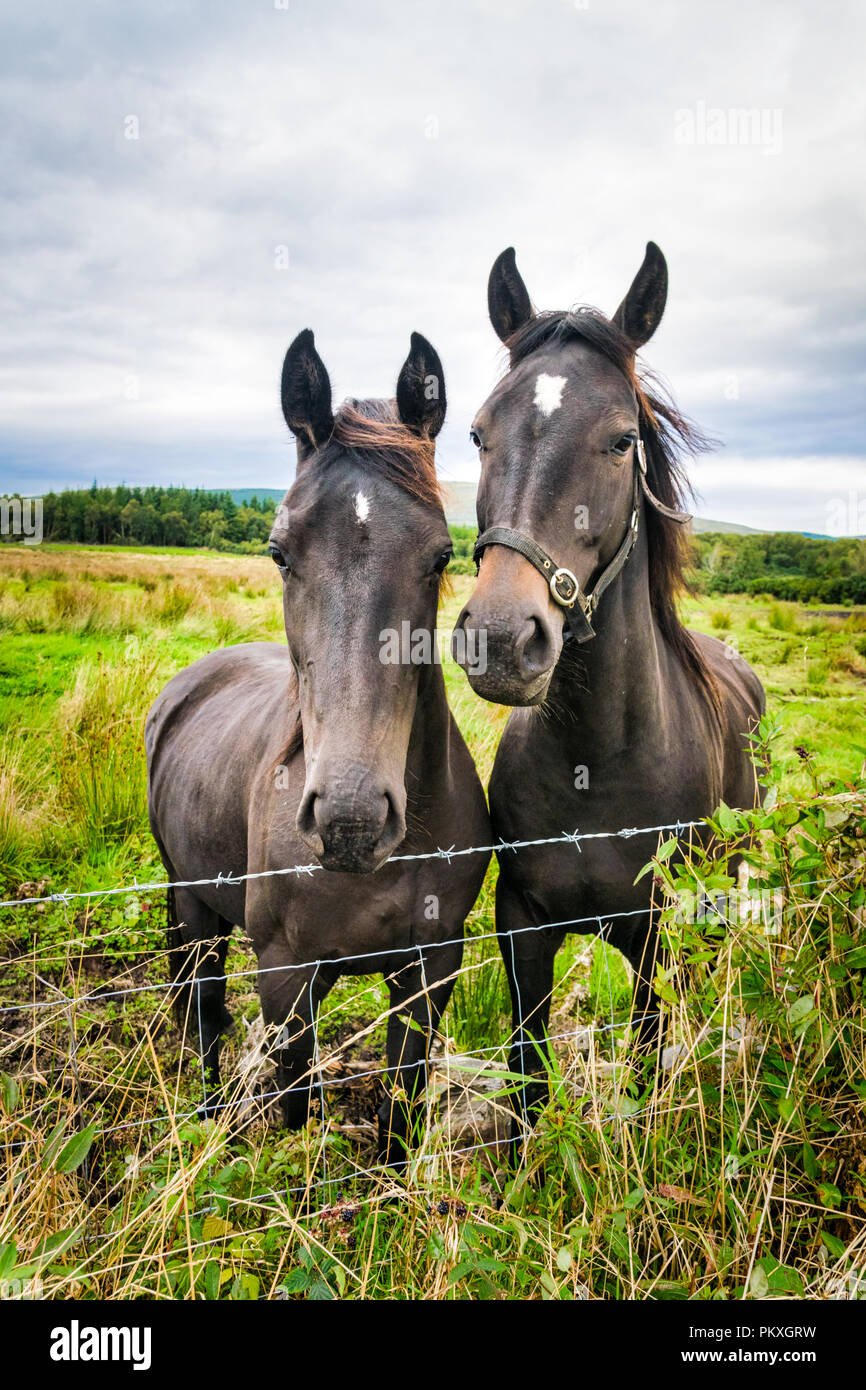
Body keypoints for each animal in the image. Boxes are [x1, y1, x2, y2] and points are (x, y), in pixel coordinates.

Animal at [146, 328, 490, 1165]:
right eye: (278, 552)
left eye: (442, 555)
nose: (352, 819)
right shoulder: (286, 975)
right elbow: (297, 1102)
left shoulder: (431, 969)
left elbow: (403, 1103)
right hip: (196, 907)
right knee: (203, 1015)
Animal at [452, 242, 765, 1132]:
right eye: (479, 432)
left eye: (623, 440)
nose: (500, 639)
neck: (599, 761)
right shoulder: (522, 926)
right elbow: (528, 1077)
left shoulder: (658, 934)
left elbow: (648, 1067)